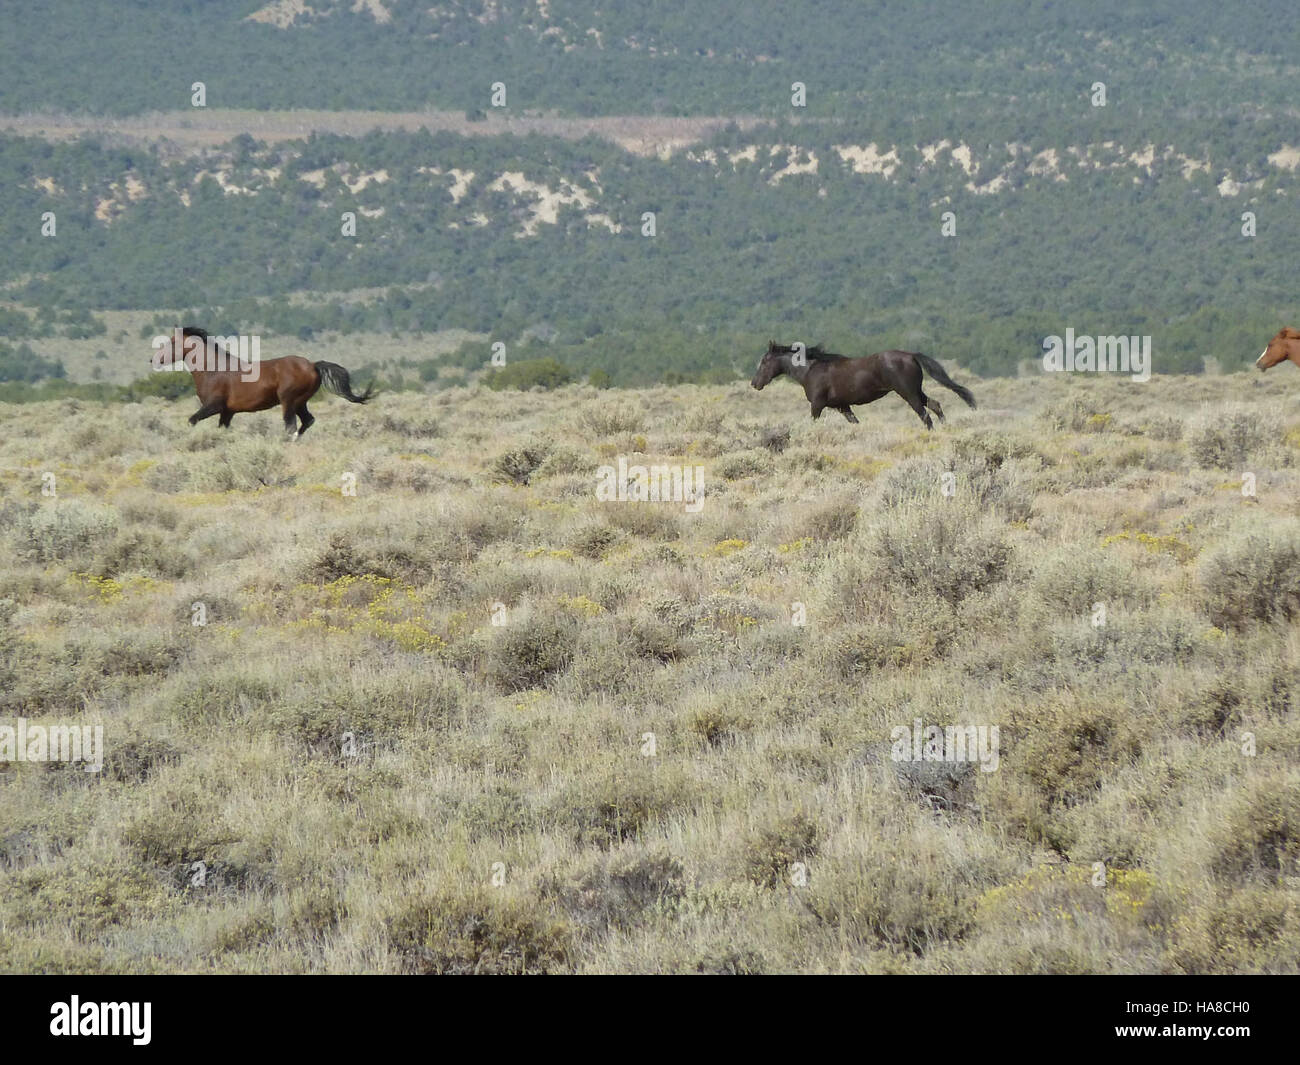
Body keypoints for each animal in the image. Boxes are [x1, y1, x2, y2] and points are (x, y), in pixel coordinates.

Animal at [152, 326, 373, 438]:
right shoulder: (227, 412)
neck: (212, 370)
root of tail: (313, 365)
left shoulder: (214, 406)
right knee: (307, 421)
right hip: (300, 402)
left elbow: (192, 420)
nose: (154, 359)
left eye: (172, 342)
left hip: (289, 400)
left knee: (291, 425)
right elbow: (222, 429)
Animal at [749, 340, 976, 429]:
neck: (811, 369)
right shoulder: (843, 406)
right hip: (916, 391)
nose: (754, 384)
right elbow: (855, 423)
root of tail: (911, 355)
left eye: (764, 361)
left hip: (908, 393)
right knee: (935, 405)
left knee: (925, 415)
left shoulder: (817, 405)